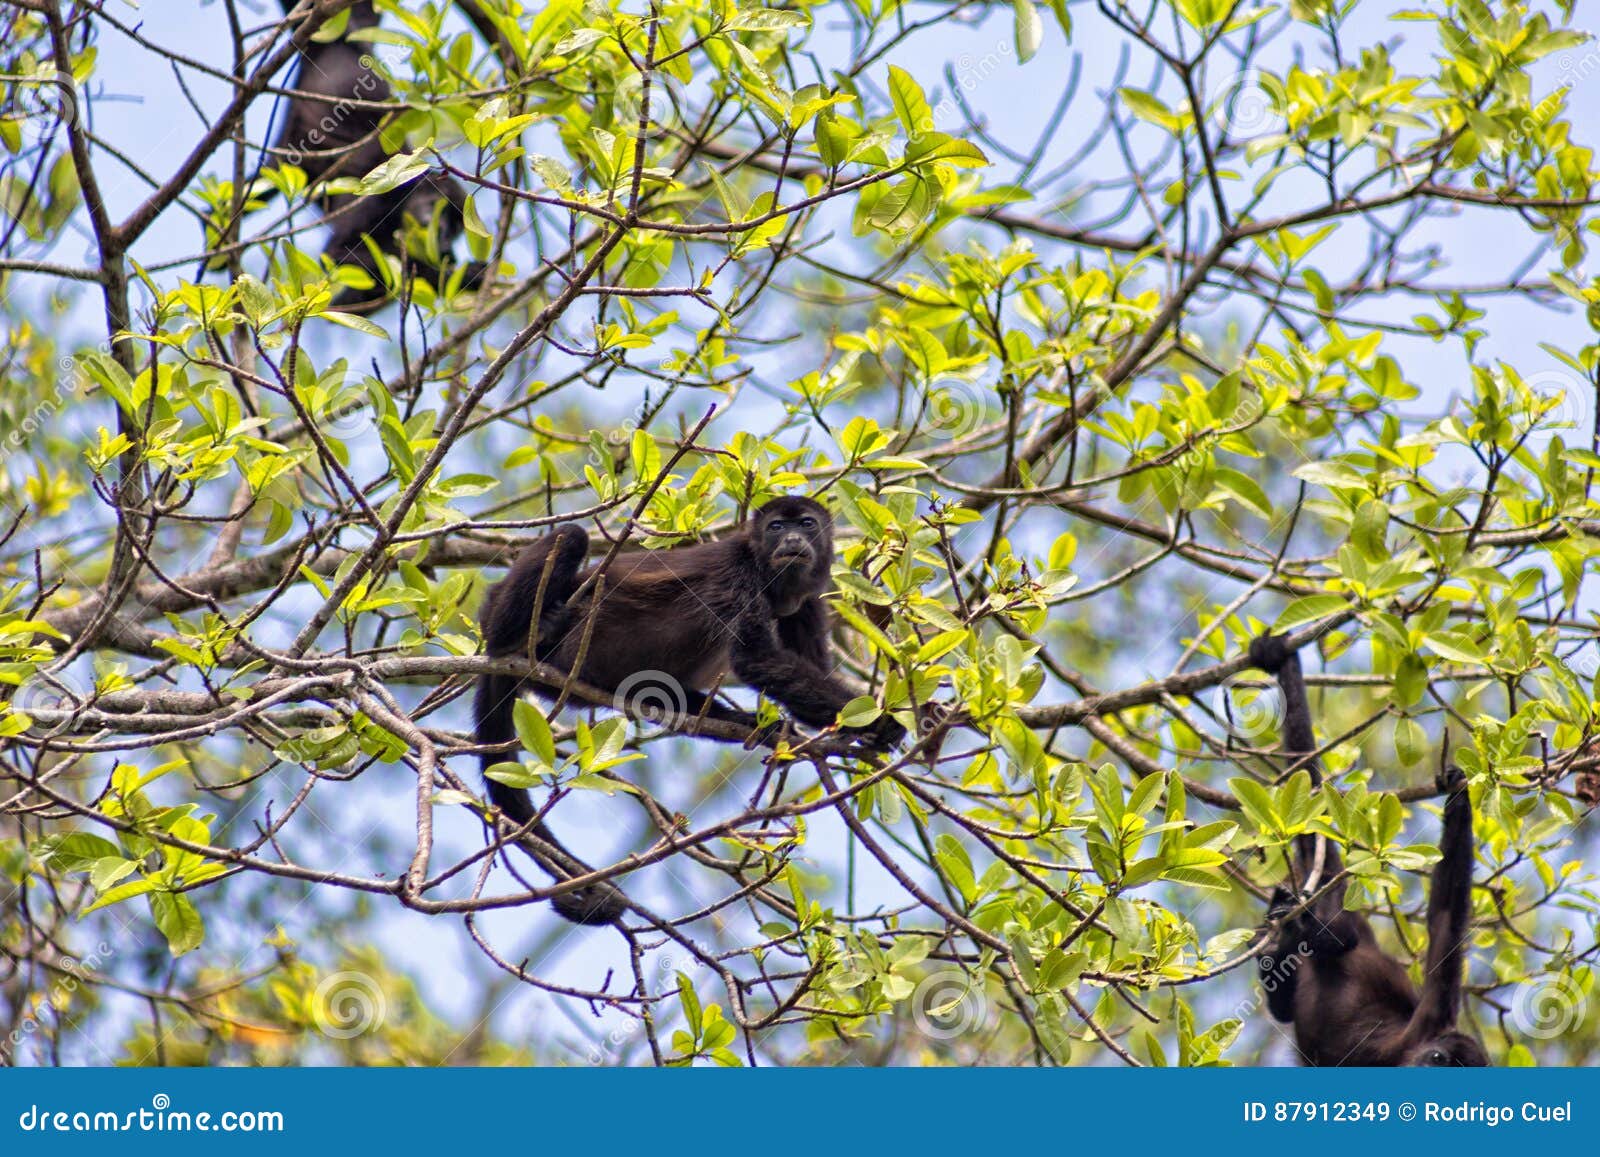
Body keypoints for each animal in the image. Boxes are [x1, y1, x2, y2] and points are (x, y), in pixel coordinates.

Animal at [269, 1, 482, 311]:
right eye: (438, 209)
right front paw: (463, 270)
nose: (442, 237)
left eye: (455, 228)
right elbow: (340, 253)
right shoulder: (379, 200)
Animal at [475, 496, 906, 925]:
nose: (793, 539)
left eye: (806, 523)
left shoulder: (808, 599)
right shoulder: (738, 574)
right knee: (567, 538)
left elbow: (814, 665)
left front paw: (864, 726)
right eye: (776, 527)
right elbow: (757, 659)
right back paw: (513, 632)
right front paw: (886, 722)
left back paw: (746, 724)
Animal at [1248, 634, 1487, 1066]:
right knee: (1342, 938)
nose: (1430, 1062)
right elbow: (1445, 922)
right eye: (1439, 1059)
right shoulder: (1429, 1019)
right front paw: (1459, 802)